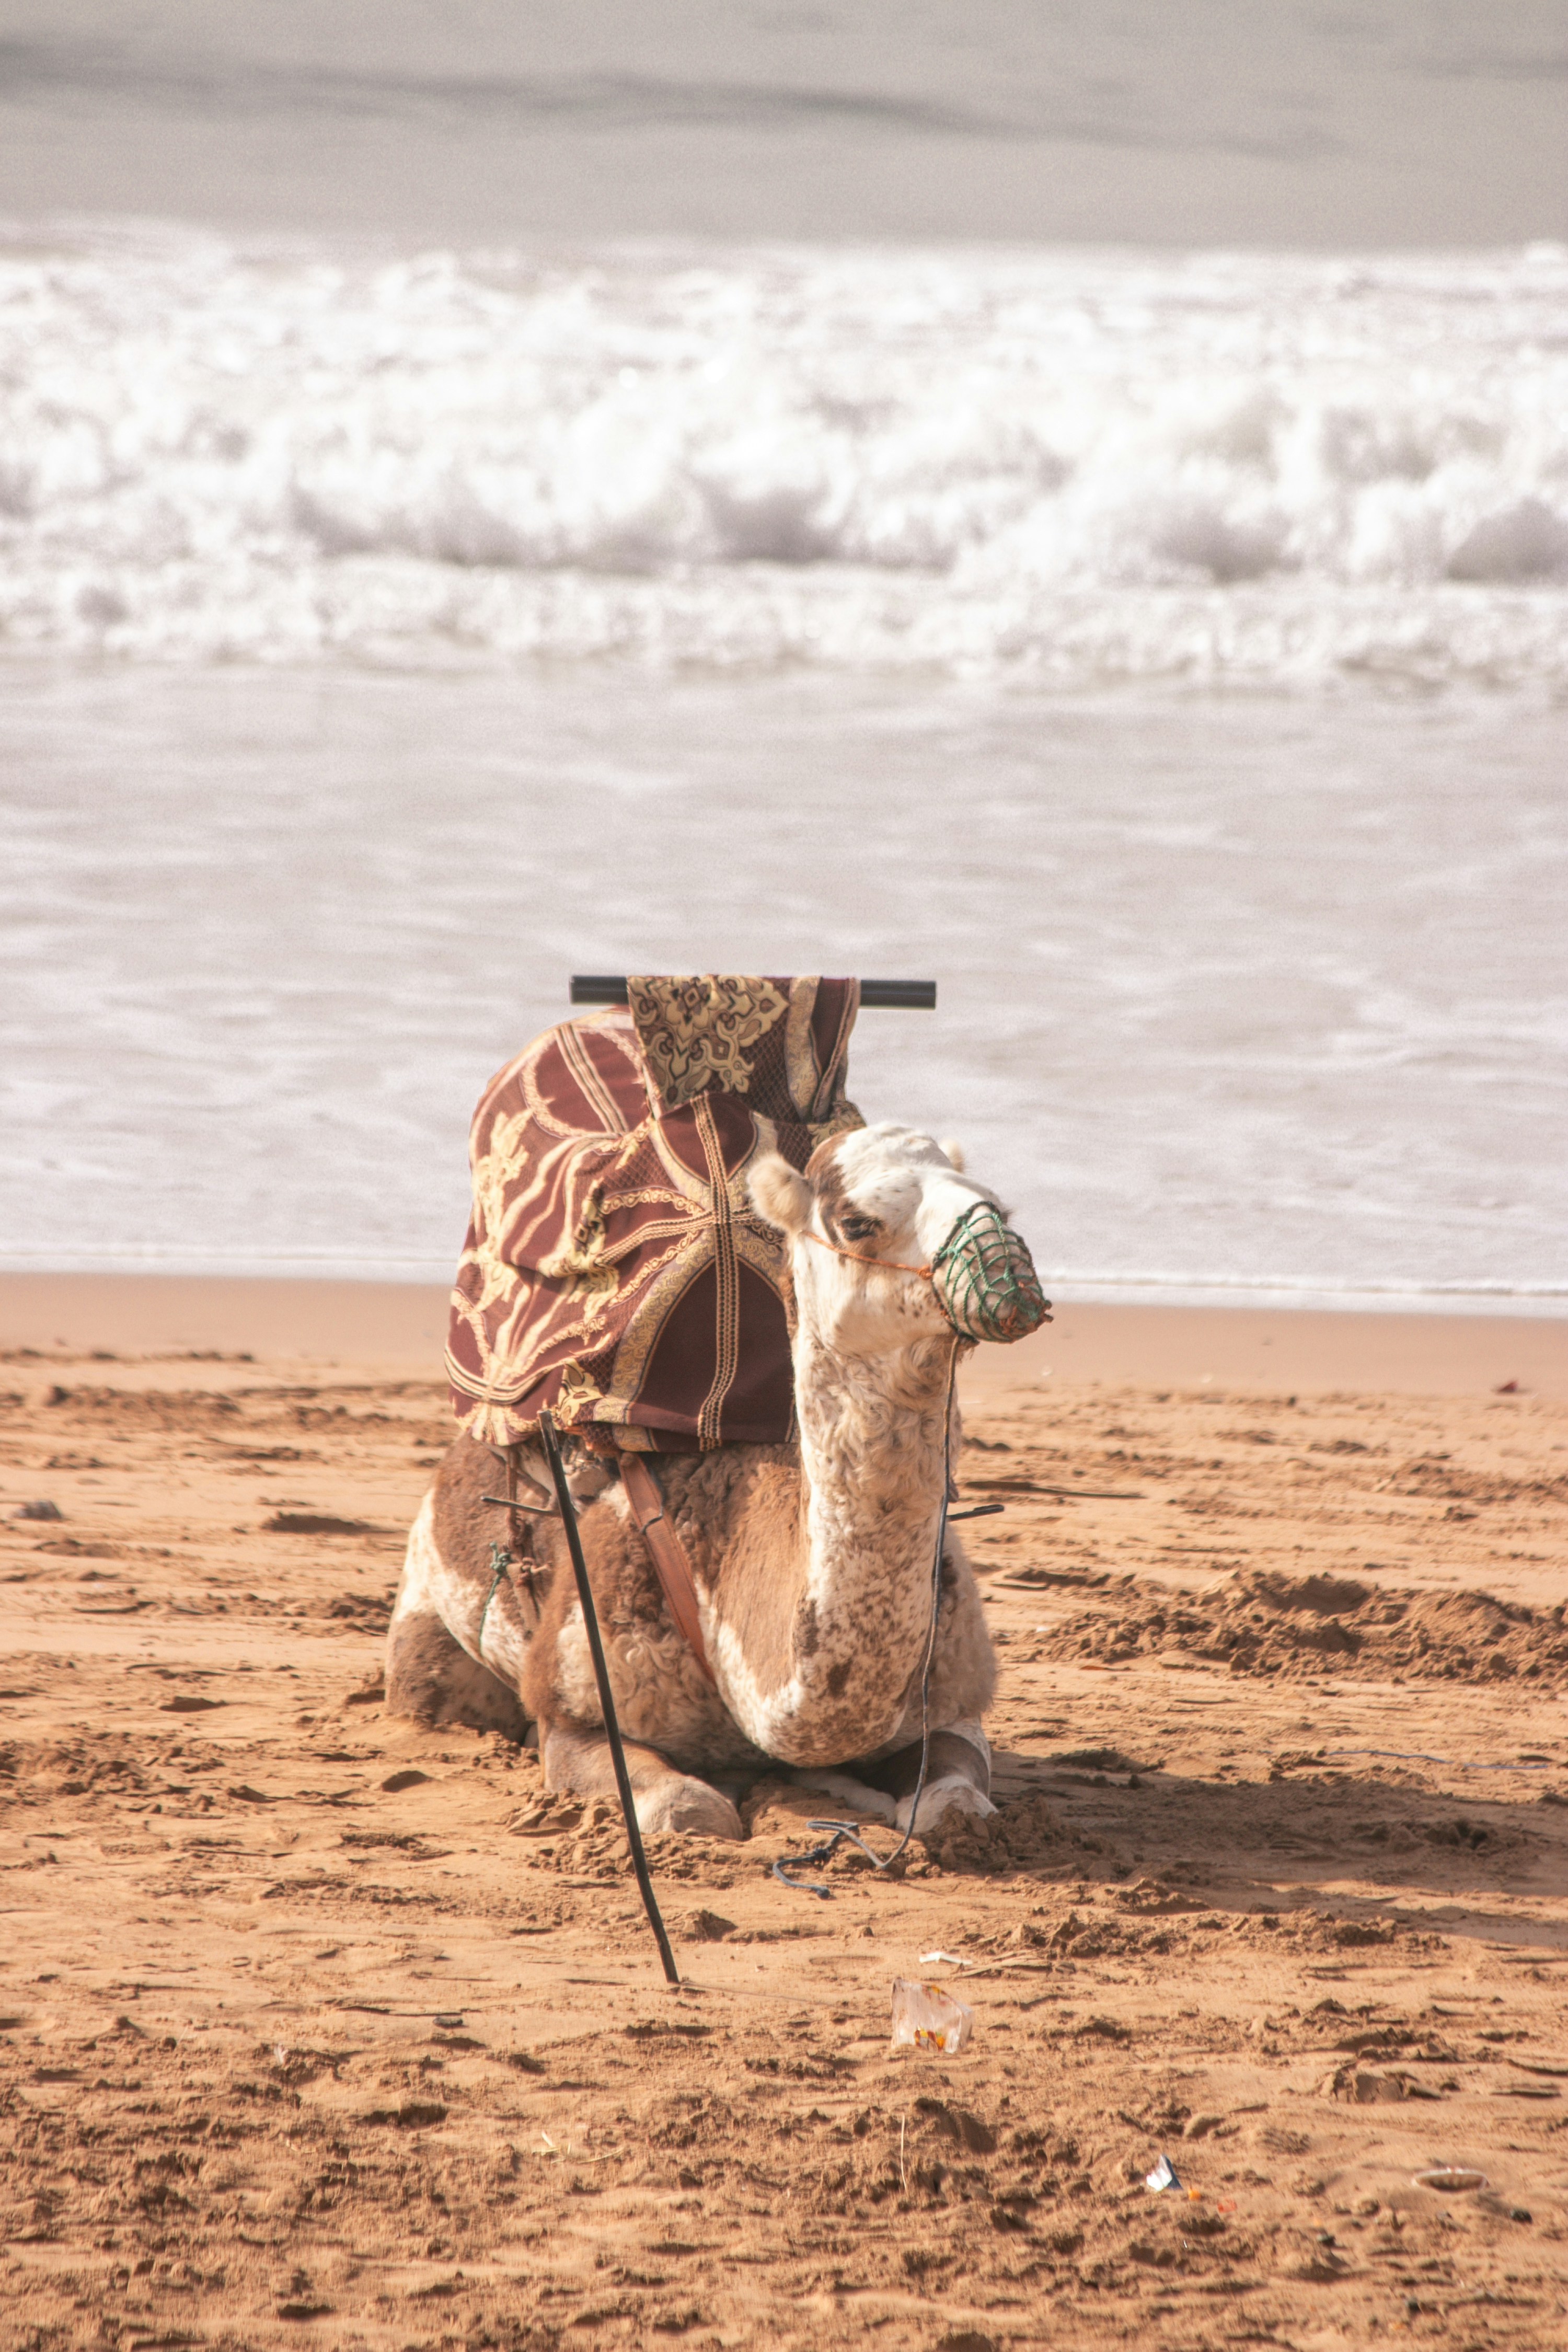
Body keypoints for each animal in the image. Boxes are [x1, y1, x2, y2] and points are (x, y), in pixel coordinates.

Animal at [385, 1121, 1047, 1841]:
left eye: (997, 1203)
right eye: (857, 1221)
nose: (1006, 1265)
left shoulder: (954, 1708)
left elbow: (951, 1804)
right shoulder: (572, 1700)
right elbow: (689, 1808)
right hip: (427, 1626)